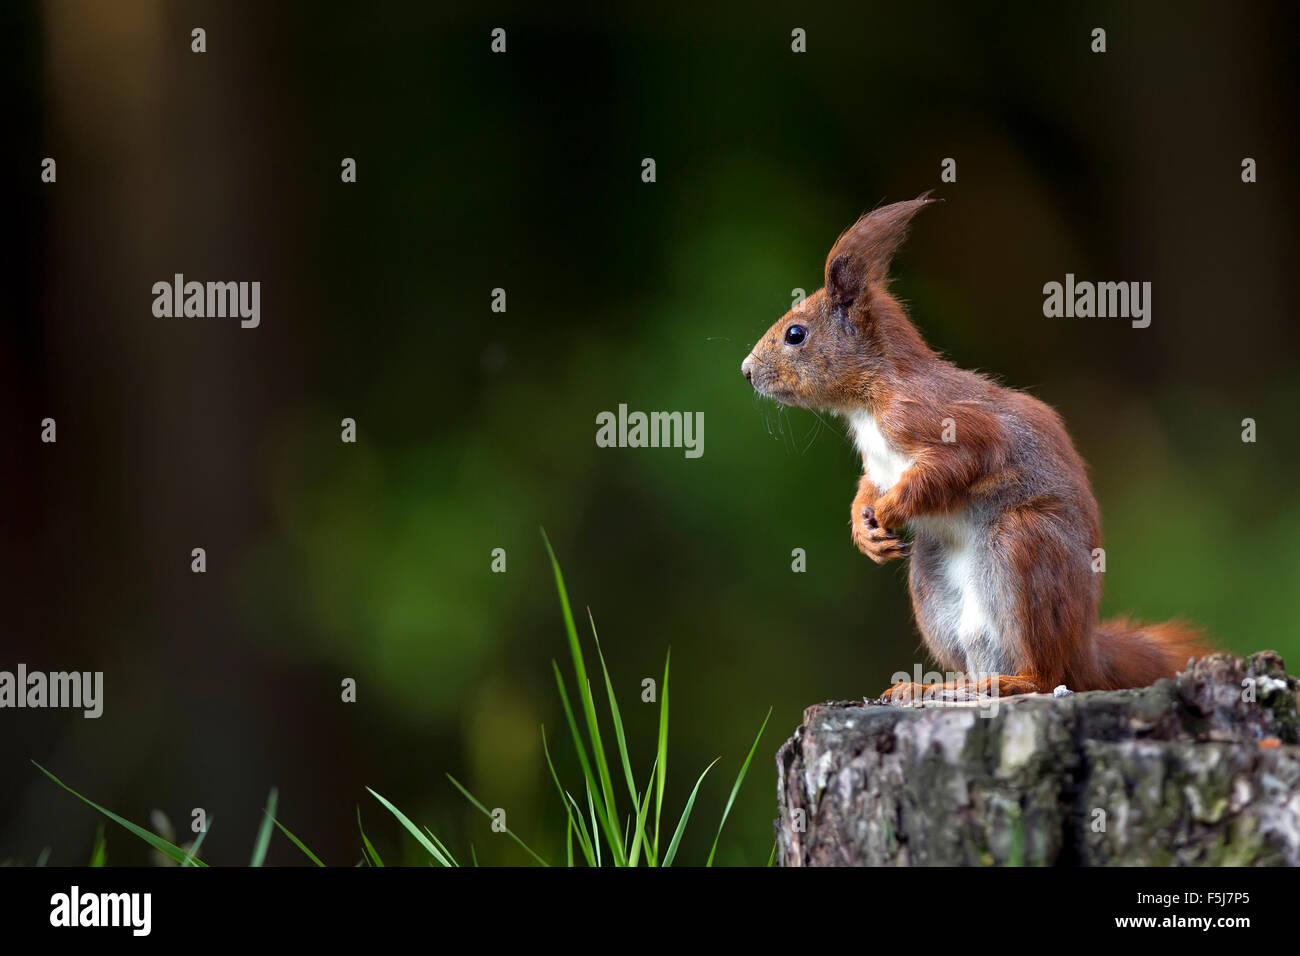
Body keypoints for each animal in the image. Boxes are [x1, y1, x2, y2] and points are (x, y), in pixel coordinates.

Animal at [741, 196, 1208, 700]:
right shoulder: (877, 464)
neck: (867, 403)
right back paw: (930, 687)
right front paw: (864, 529)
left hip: (1022, 544)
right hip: (932, 581)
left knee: (1048, 676)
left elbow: (956, 464)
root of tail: (1084, 651)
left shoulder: (943, 422)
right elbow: (867, 485)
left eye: (795, 334)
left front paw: (889, 510)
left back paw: (1012, 681)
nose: (746, 371)